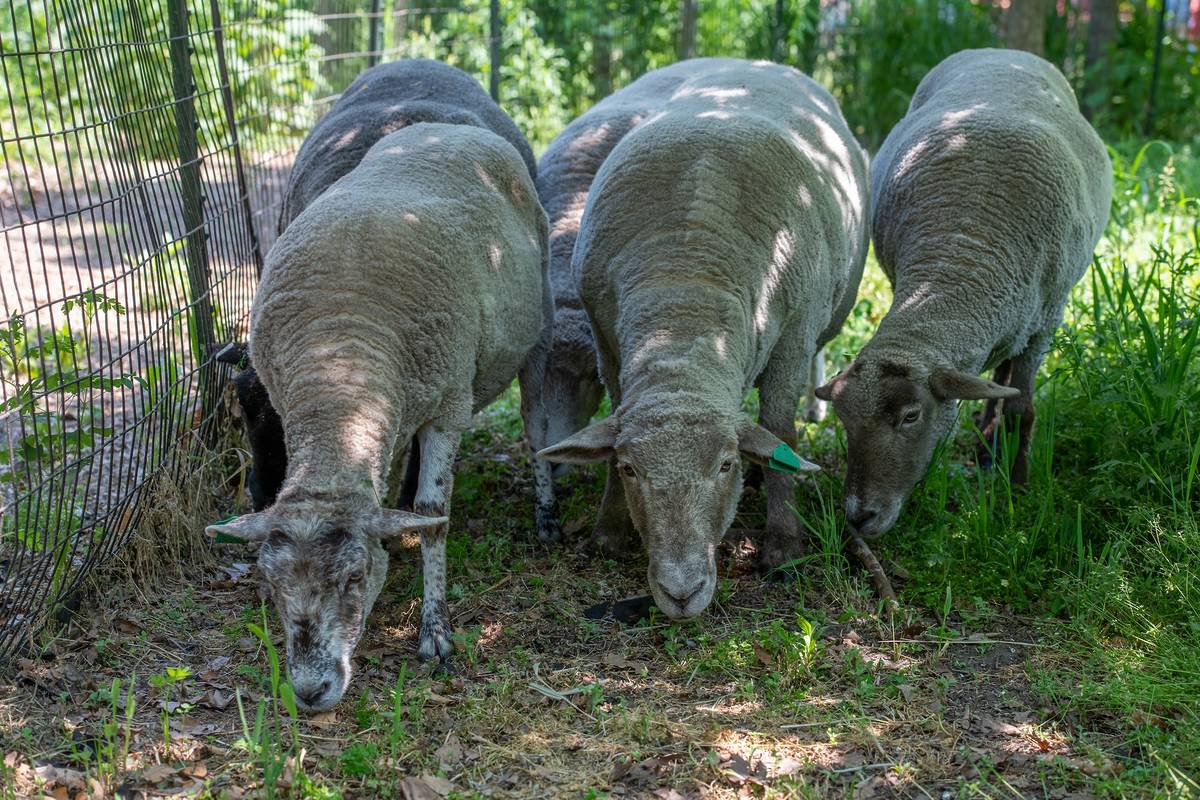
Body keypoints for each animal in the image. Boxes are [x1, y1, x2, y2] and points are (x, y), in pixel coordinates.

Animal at [207, 121, 553, 711]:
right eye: (272, 586)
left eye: (353, 577)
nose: (311, 691)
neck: (337, 368)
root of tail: (452, 128)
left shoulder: (449, 406)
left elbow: (433, 514)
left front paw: (435, 631)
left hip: (537, 329)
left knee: (539, 425)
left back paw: (545, 509)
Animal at [538, 58, 870, 619]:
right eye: (629, 468)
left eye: (725, 464)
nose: (682, 592)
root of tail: (750, 62)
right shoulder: (606, 340)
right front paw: (608, 532)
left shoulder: (795, 333)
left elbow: (779, 426)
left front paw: (784, 547)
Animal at [814, 48, 1112, 539]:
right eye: (844, 420)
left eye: (911, 415)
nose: (858, 517)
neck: (963, 250)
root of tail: (1001, 51)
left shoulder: (1046, 321)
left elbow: (1022, 409)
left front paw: (1018, 489)